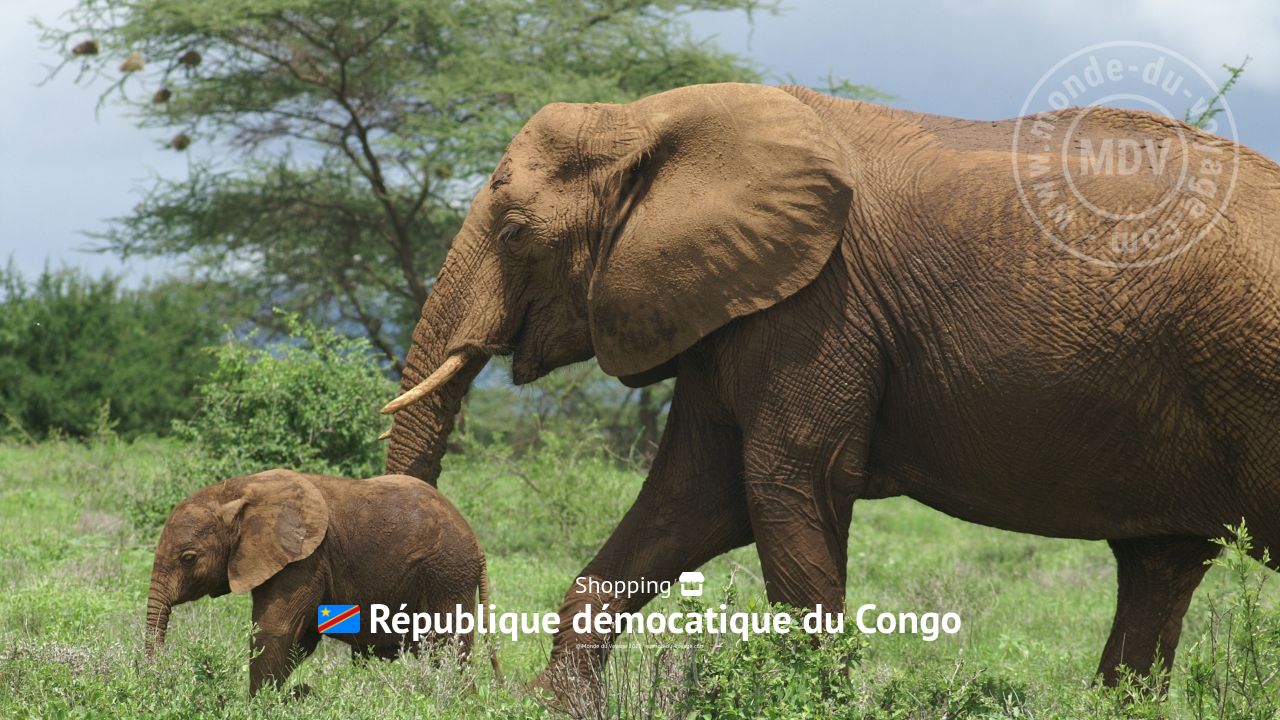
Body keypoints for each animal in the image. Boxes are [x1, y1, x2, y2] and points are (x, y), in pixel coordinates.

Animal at [142, 468, 496, 691]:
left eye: (188, 558)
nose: (156, 682)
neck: (238, 490)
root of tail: (477, 543)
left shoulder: (304, 559)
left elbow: (274, 630)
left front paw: (257, 705)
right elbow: (300, 638)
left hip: (446, 573)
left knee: (447, 646)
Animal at [376, 81, 1280, 691]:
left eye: (515, 233)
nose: (466, 674)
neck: (649, 118)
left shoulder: (818, 307)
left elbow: (784, 487)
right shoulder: (736, 302)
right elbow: (693, 500)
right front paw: (555, 704)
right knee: (1159, 566)